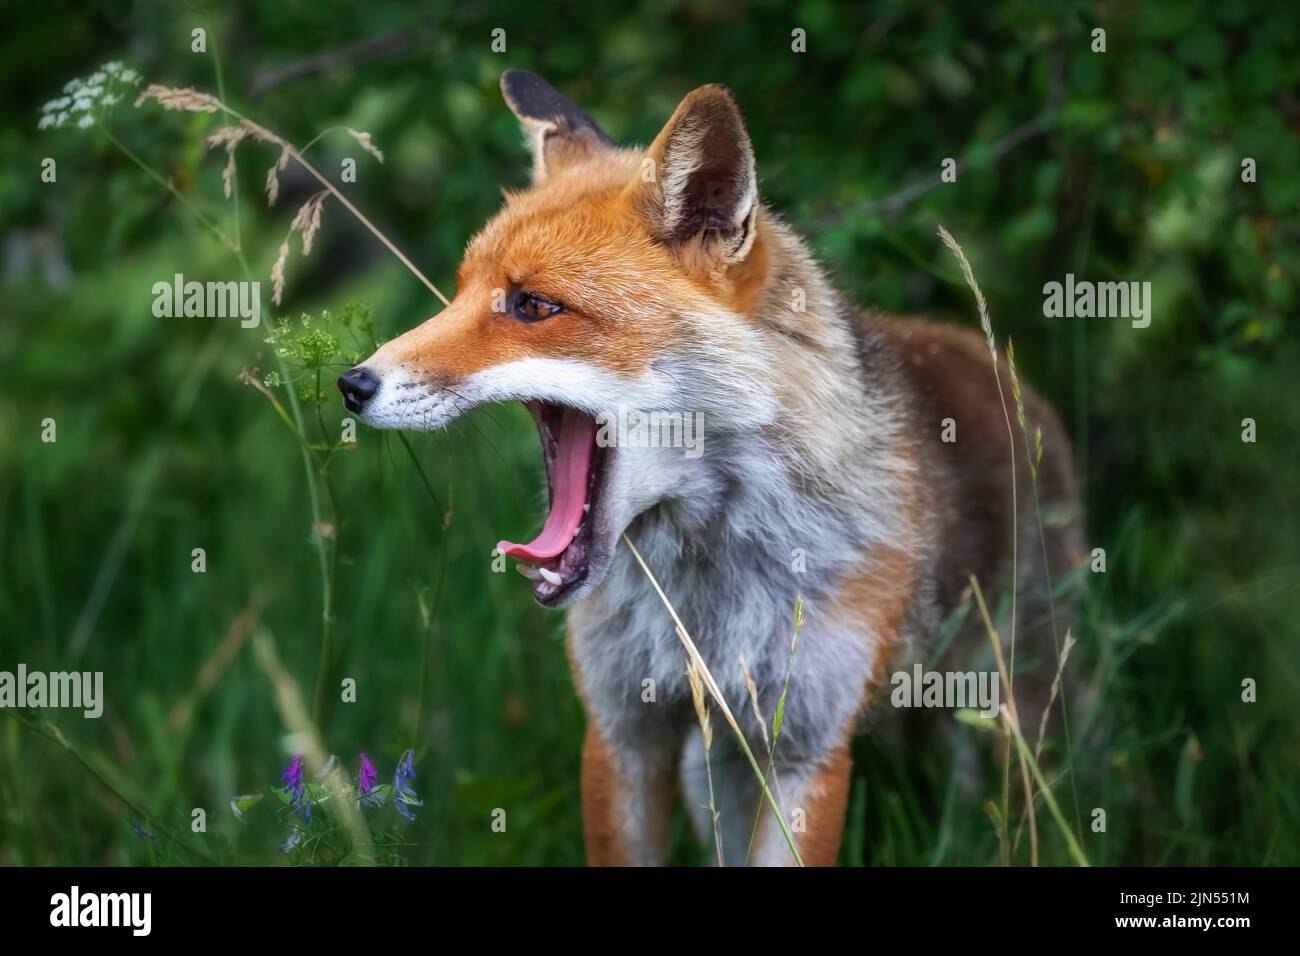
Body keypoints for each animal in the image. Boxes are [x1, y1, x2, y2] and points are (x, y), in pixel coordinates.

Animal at [339, 70, 1082, 866]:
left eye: (533, 305)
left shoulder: (810, 749)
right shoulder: (622, 732)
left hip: (1011, 730)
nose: (352, 384)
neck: (708, 592)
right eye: (460, 290)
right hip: (716, 768)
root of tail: (997, 365)